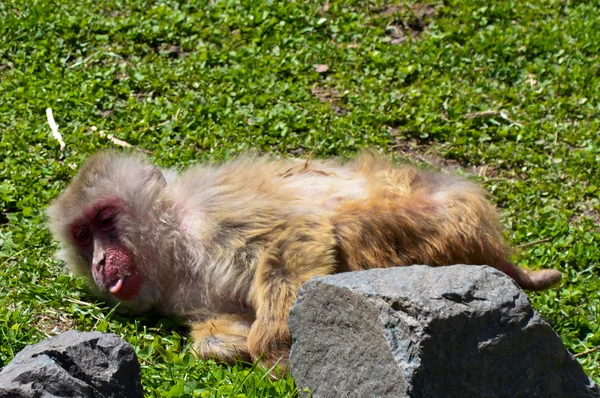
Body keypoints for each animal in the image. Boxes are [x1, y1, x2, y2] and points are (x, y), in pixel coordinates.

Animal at [47, 151, 564, 372]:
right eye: (82, 235)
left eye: (106, 218)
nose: (98, 262)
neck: (176, 238)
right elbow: (214, 331)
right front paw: (232, 343)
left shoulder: (215, 209)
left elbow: (297, 231)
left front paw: (274, 349)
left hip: (431, 222)